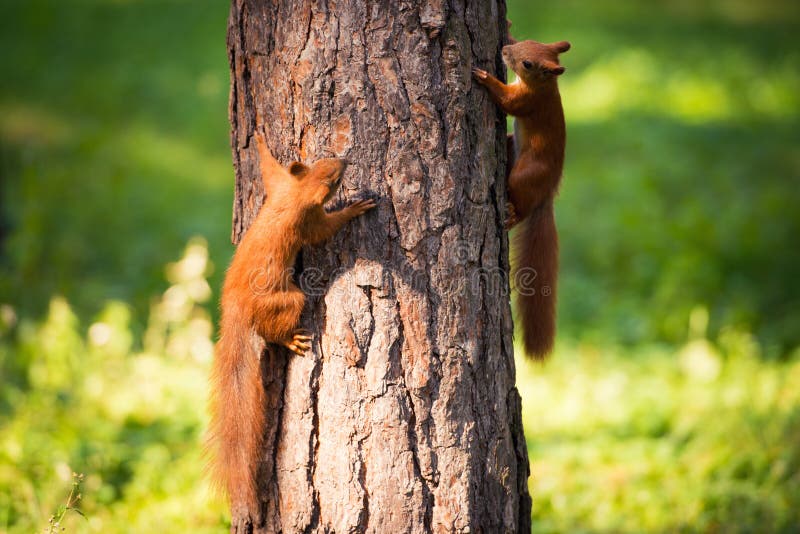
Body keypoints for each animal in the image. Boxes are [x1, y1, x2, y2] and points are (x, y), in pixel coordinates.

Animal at [206, 130, 376, 518]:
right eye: (334, 180)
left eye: (326, 161)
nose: (346, 160)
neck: (295, 194)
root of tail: (233, 308)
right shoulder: (308, 222)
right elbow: (325, 229)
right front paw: (355, 208)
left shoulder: (280, 184)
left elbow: (270, 168)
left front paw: (260, 140)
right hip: (287, 300)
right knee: (274, 329)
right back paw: (291, 340)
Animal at [473, 37, 570, 359]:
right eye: (530, 42)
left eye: (528, 63)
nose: (504, 50)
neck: (546, 87)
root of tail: (548, 193)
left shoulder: (527, 102)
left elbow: (506, 101)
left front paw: (485, 77)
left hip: (524, 176)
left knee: (522, 206)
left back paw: (512, 215)